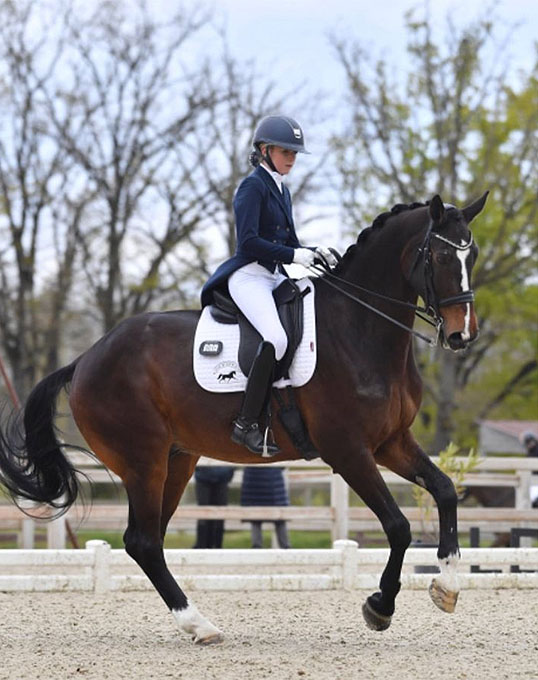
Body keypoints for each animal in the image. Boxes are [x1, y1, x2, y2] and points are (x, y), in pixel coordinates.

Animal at [0, 192, 488, 644]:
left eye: (473, 254)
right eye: (440, 256)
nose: (462, 335)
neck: (359, 328)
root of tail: (86, 358)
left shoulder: (391, 442)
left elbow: (445, 491)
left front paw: (447, 586)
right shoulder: (348, 451)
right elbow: (399, 526)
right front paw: (380, 606)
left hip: (176, 459)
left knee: (148, 539)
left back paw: (196, 624)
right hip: (143, 461)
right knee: (144, 540)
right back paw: (199, 624)